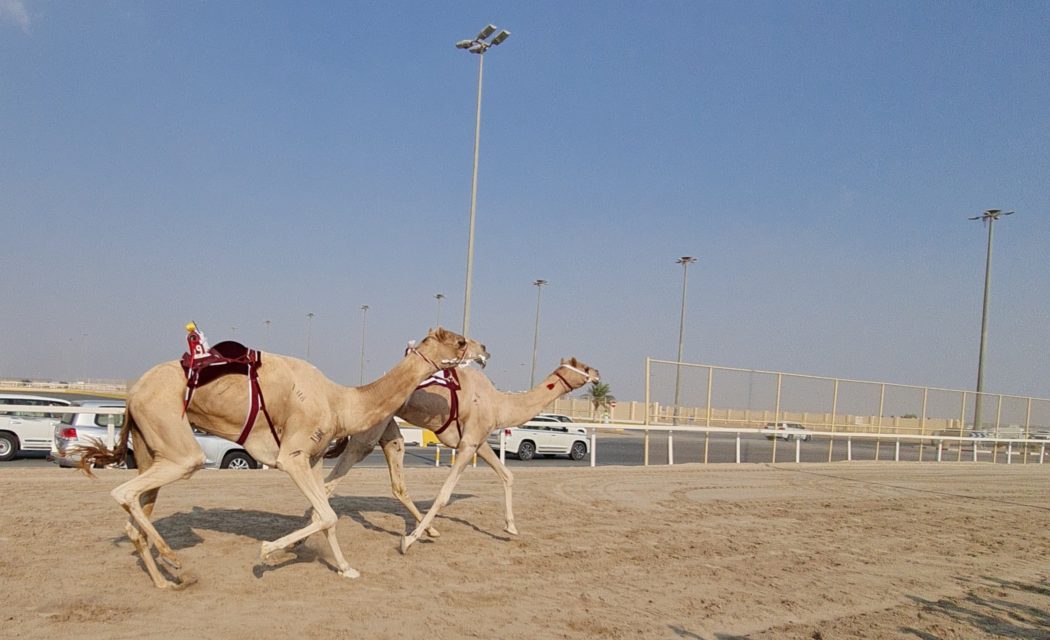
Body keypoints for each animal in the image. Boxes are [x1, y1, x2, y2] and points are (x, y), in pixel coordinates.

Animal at [74, 327, 489, 589]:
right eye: (460, 341)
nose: (485, 350)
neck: (341, 401)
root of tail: (131, 394)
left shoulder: (314, 457)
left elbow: (326, 515)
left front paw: (346, 568)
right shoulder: (292, 456)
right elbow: (327, 515)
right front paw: (268, 553)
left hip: (151, 448)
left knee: (134, 519)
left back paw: (169, 580)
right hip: (176, 444)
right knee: (125, 492)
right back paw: (175, 560)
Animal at [322, 357, 599, 552]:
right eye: (584, 366)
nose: (597, 374)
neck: (499, 404)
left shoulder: (478, 440)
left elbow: (507, 474)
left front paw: (511, 527)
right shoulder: (468, 444)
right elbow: (444, 495)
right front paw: (408, 541)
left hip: (389, 429)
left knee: (397, 476)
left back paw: (432, 531)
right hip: (372, 428)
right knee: (337, 473)